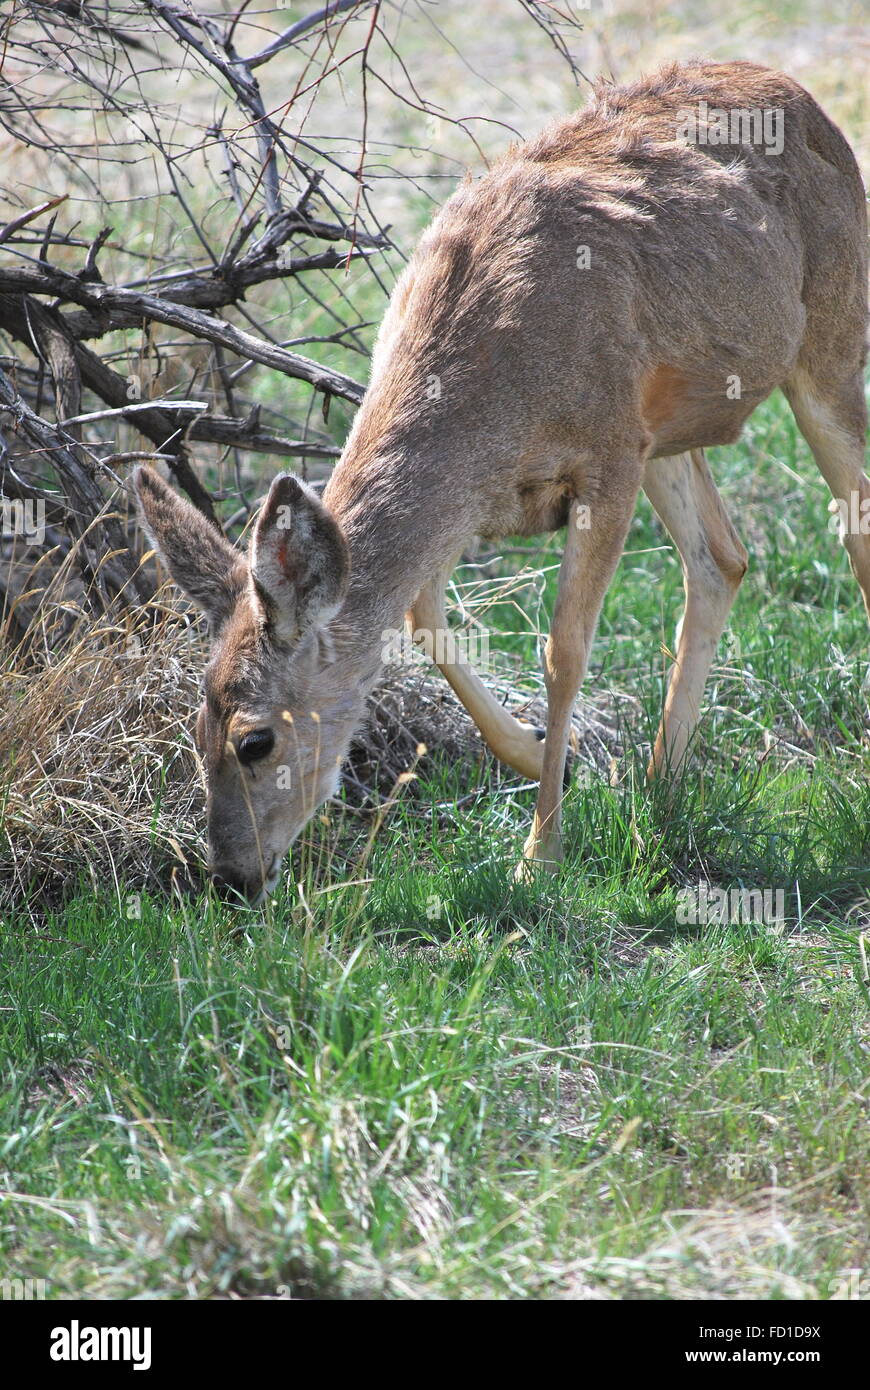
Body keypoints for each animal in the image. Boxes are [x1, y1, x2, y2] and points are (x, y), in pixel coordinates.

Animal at [135, 60, 870, 904]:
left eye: (254, 741)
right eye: (194, 728)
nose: (229, 876)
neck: (487, 390)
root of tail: (799, 94)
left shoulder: (606, 455)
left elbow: (564, 652)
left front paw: (538, 853)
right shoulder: (488, 499)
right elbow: (423, 616)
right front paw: (549, 753)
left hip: (830, 342)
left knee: (852, 530)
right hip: (668, 431)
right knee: (722, 558)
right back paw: (660, 787)